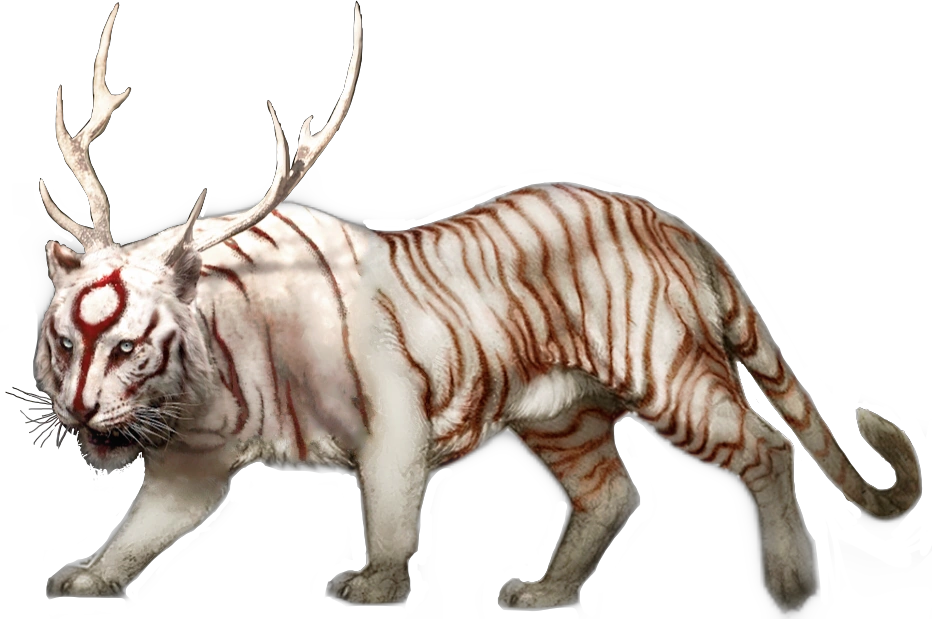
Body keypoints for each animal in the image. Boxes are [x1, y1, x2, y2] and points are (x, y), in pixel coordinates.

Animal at [30, 3, 920, 611]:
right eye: (65, 342)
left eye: (127, 346)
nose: (77, 412)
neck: (210, 370)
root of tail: (669, 222)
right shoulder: (190, 460)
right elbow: (141, 527)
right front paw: (90, 573)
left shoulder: (393, 423)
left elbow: (391, 513)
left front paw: (376, 584)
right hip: (563, 417)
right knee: (611, 493)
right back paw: (546, 593)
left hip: (672, 376)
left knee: (767, 448)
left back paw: (792, 583)